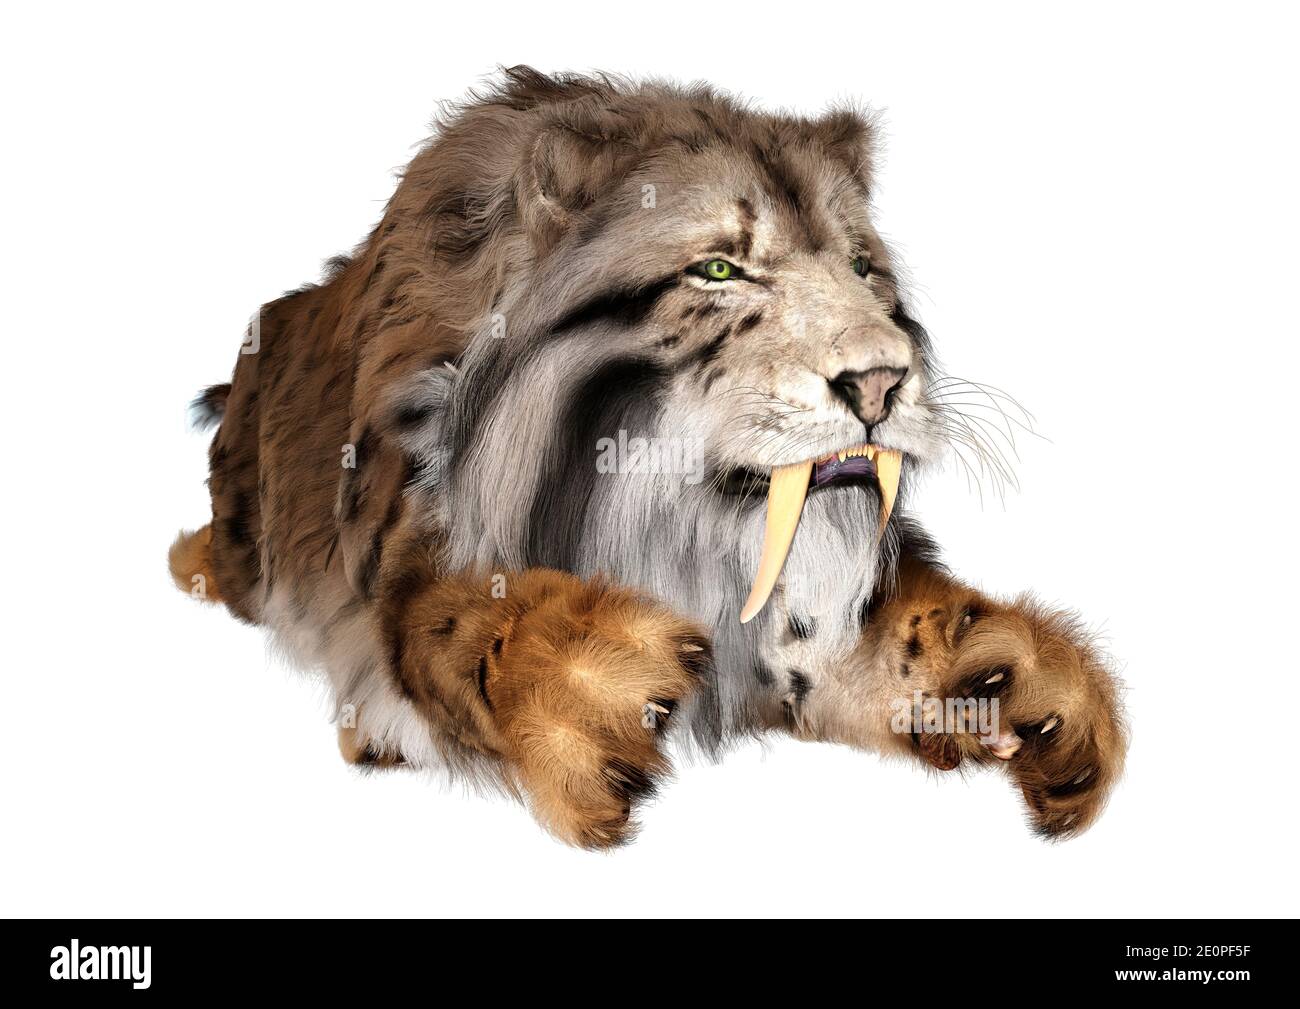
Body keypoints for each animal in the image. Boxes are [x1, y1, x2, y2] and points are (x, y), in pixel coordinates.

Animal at [170, 67, 1126, 847]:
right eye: (719, 271)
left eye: (863, 270)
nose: (883, 380)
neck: (677, 523)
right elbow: (464, 615)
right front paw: (585, 679)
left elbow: (906, 628)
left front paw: (1013, 677)